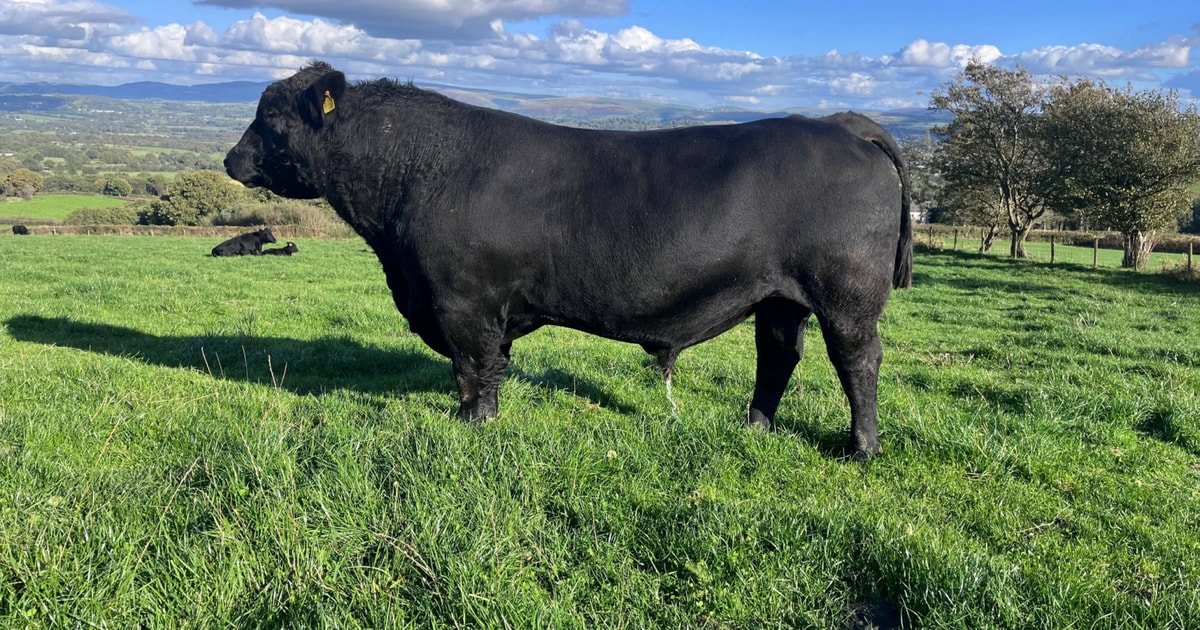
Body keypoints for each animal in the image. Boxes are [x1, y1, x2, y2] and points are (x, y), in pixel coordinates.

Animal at [225, 62, 913, 459]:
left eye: (272, 116)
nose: (232, 159)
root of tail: (838, 124)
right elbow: (492, 365)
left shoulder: (461, 301)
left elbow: (473, 368)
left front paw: (472, 426)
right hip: (778, 297)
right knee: (778, 356)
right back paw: (755, 428)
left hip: (846, 294)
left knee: (857, 360)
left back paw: (861, 449)